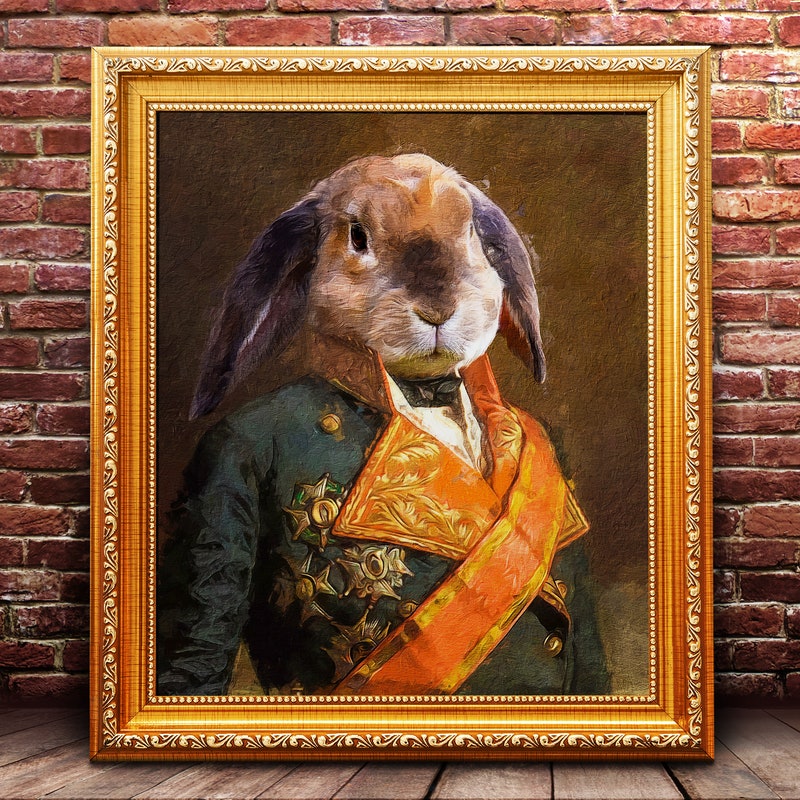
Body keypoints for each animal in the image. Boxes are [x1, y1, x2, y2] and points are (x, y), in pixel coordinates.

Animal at [158, 154, 608, 699]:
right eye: (357, 235)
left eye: (469, 233)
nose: (438, 308)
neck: (422, 394)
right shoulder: (225, 471)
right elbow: (204, 631)